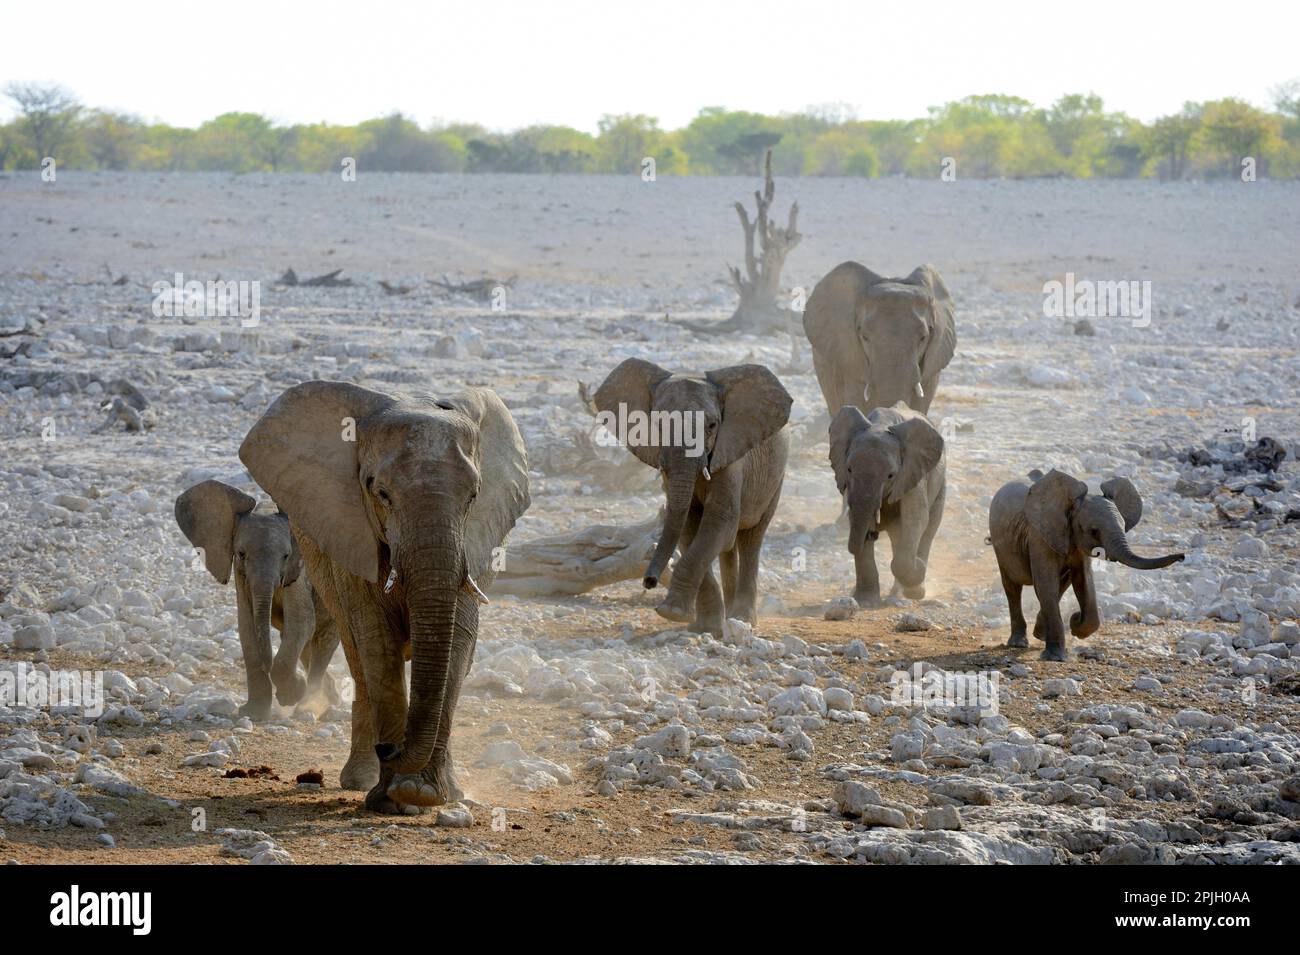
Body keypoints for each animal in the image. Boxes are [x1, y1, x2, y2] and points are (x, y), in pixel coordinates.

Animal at [174, 480, 340, 721]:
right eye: (241, 554)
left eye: (286, 556)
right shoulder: (239, 573)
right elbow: (246, 627)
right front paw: (253, 713)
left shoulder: (299, 572)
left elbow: (301, 622)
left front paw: (290, 695)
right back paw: (331, 697)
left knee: (322, 643)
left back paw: (309, 707)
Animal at [239, 381, 529, 814]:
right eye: (380, 492)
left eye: (473, 496)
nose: (388, 748)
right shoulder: (350, 533)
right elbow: (377, 641)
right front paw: (393, 798)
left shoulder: (474, 544)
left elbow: (458, 639)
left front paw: (425, 795)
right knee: (358, 657)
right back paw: (359, 779)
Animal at [592, 358, 792, 633]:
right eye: (658, 425)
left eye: (712, 426)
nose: (649, 581)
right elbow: (689, 525)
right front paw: (702, 625)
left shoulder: (731, 453)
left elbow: (719, 521)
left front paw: (673, 613)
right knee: (729, 546)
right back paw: (730, 615)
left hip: (775, 478)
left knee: (751, 537)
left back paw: (742, 619)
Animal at [829, 402, 945, 607]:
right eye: (849, 469)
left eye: (891, 475)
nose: (873, 534)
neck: (880, 425)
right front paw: (865, 601)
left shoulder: (913, 472)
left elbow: (916, 518)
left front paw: (918, 568)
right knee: (898, 536)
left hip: (940, 485)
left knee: (928, 529)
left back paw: (914, 589)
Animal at [988, 469, 1184, 661]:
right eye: (1094, 531)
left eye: (1124, 525)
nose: (1182, 556)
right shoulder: (1040, 536)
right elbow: (1046, 583)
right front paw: (1055, 657)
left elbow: (1084, 581)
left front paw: (1075, 625)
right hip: (1000, 544)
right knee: (1012, 587)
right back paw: (1018, 643)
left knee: (1062, 584)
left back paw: (1040, 634)